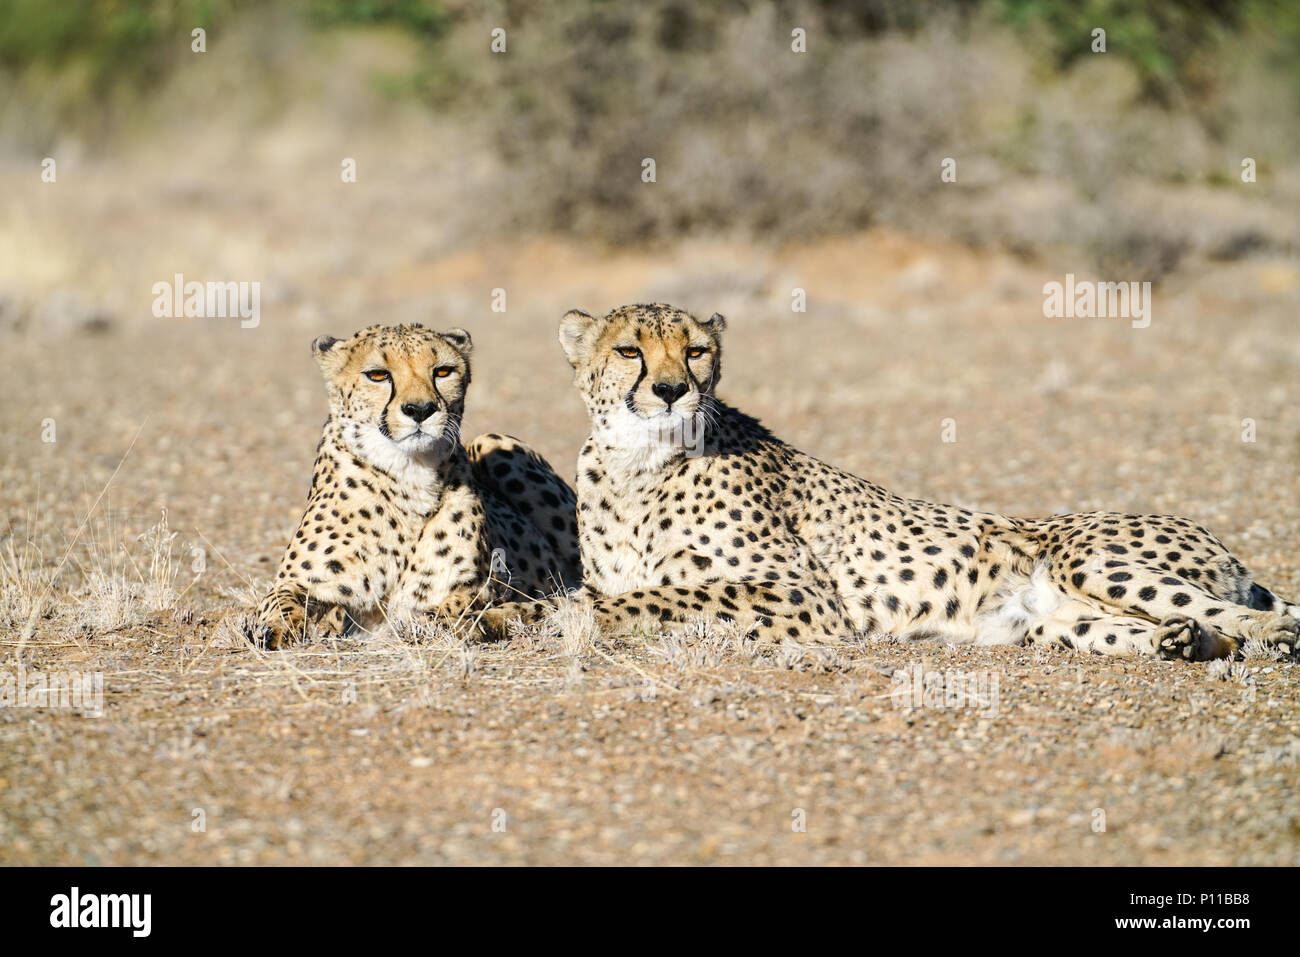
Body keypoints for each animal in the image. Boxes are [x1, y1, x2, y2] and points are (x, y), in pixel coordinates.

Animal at [249, 323, 580, 649]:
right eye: (378, 375)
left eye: (443, 371)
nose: (420, 409)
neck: (410, 473)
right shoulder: (296, 582)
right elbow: (277, 602)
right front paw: (274, 629)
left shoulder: (478, 587)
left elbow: (450, 609)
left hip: (494, 442)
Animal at [479, 302, 1300, 662]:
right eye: (629, 350)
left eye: (697, 350)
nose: (674, 390)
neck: (639, 464)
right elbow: (610, 592)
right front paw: (511, 615)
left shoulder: (803, 595)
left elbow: (650, 596)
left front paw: (543, 614)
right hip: (1060, 621)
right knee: (1181, 627)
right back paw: (1183, 641)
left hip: (1087, 556)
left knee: (1267, 620)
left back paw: (1256, 636)